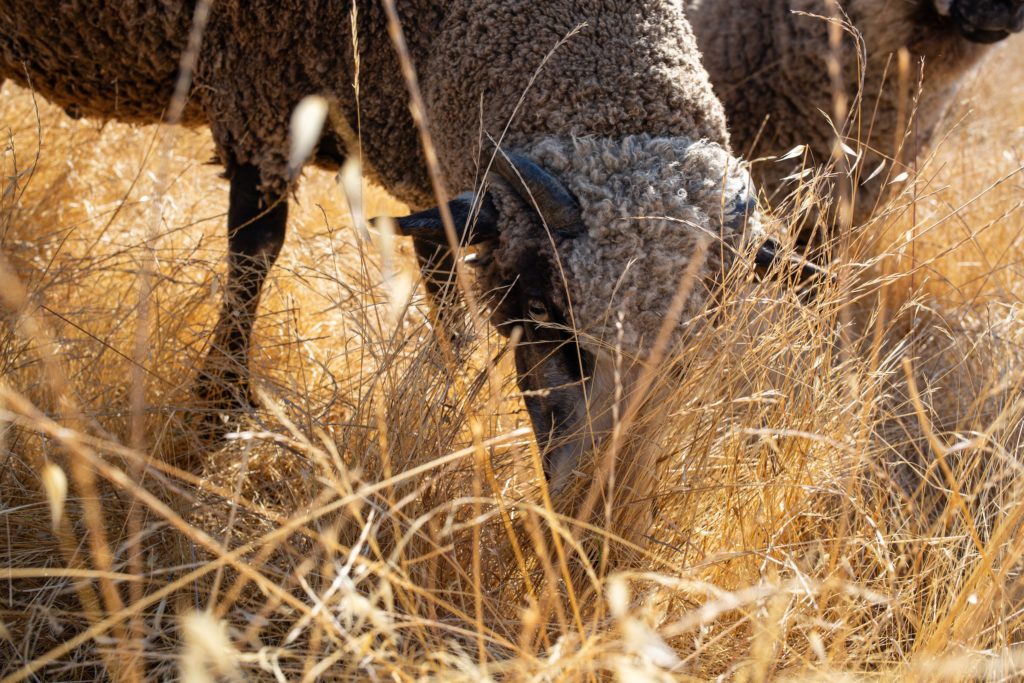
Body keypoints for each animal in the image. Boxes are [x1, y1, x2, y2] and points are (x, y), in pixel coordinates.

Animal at [1, 0, 808, 484]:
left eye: (696, 353)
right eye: (551, 322)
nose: (595, 511)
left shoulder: (439, 165)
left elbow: (446, 292)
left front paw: (451, 406)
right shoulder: (263, 96)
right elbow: (254, 251)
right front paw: (214, 416)